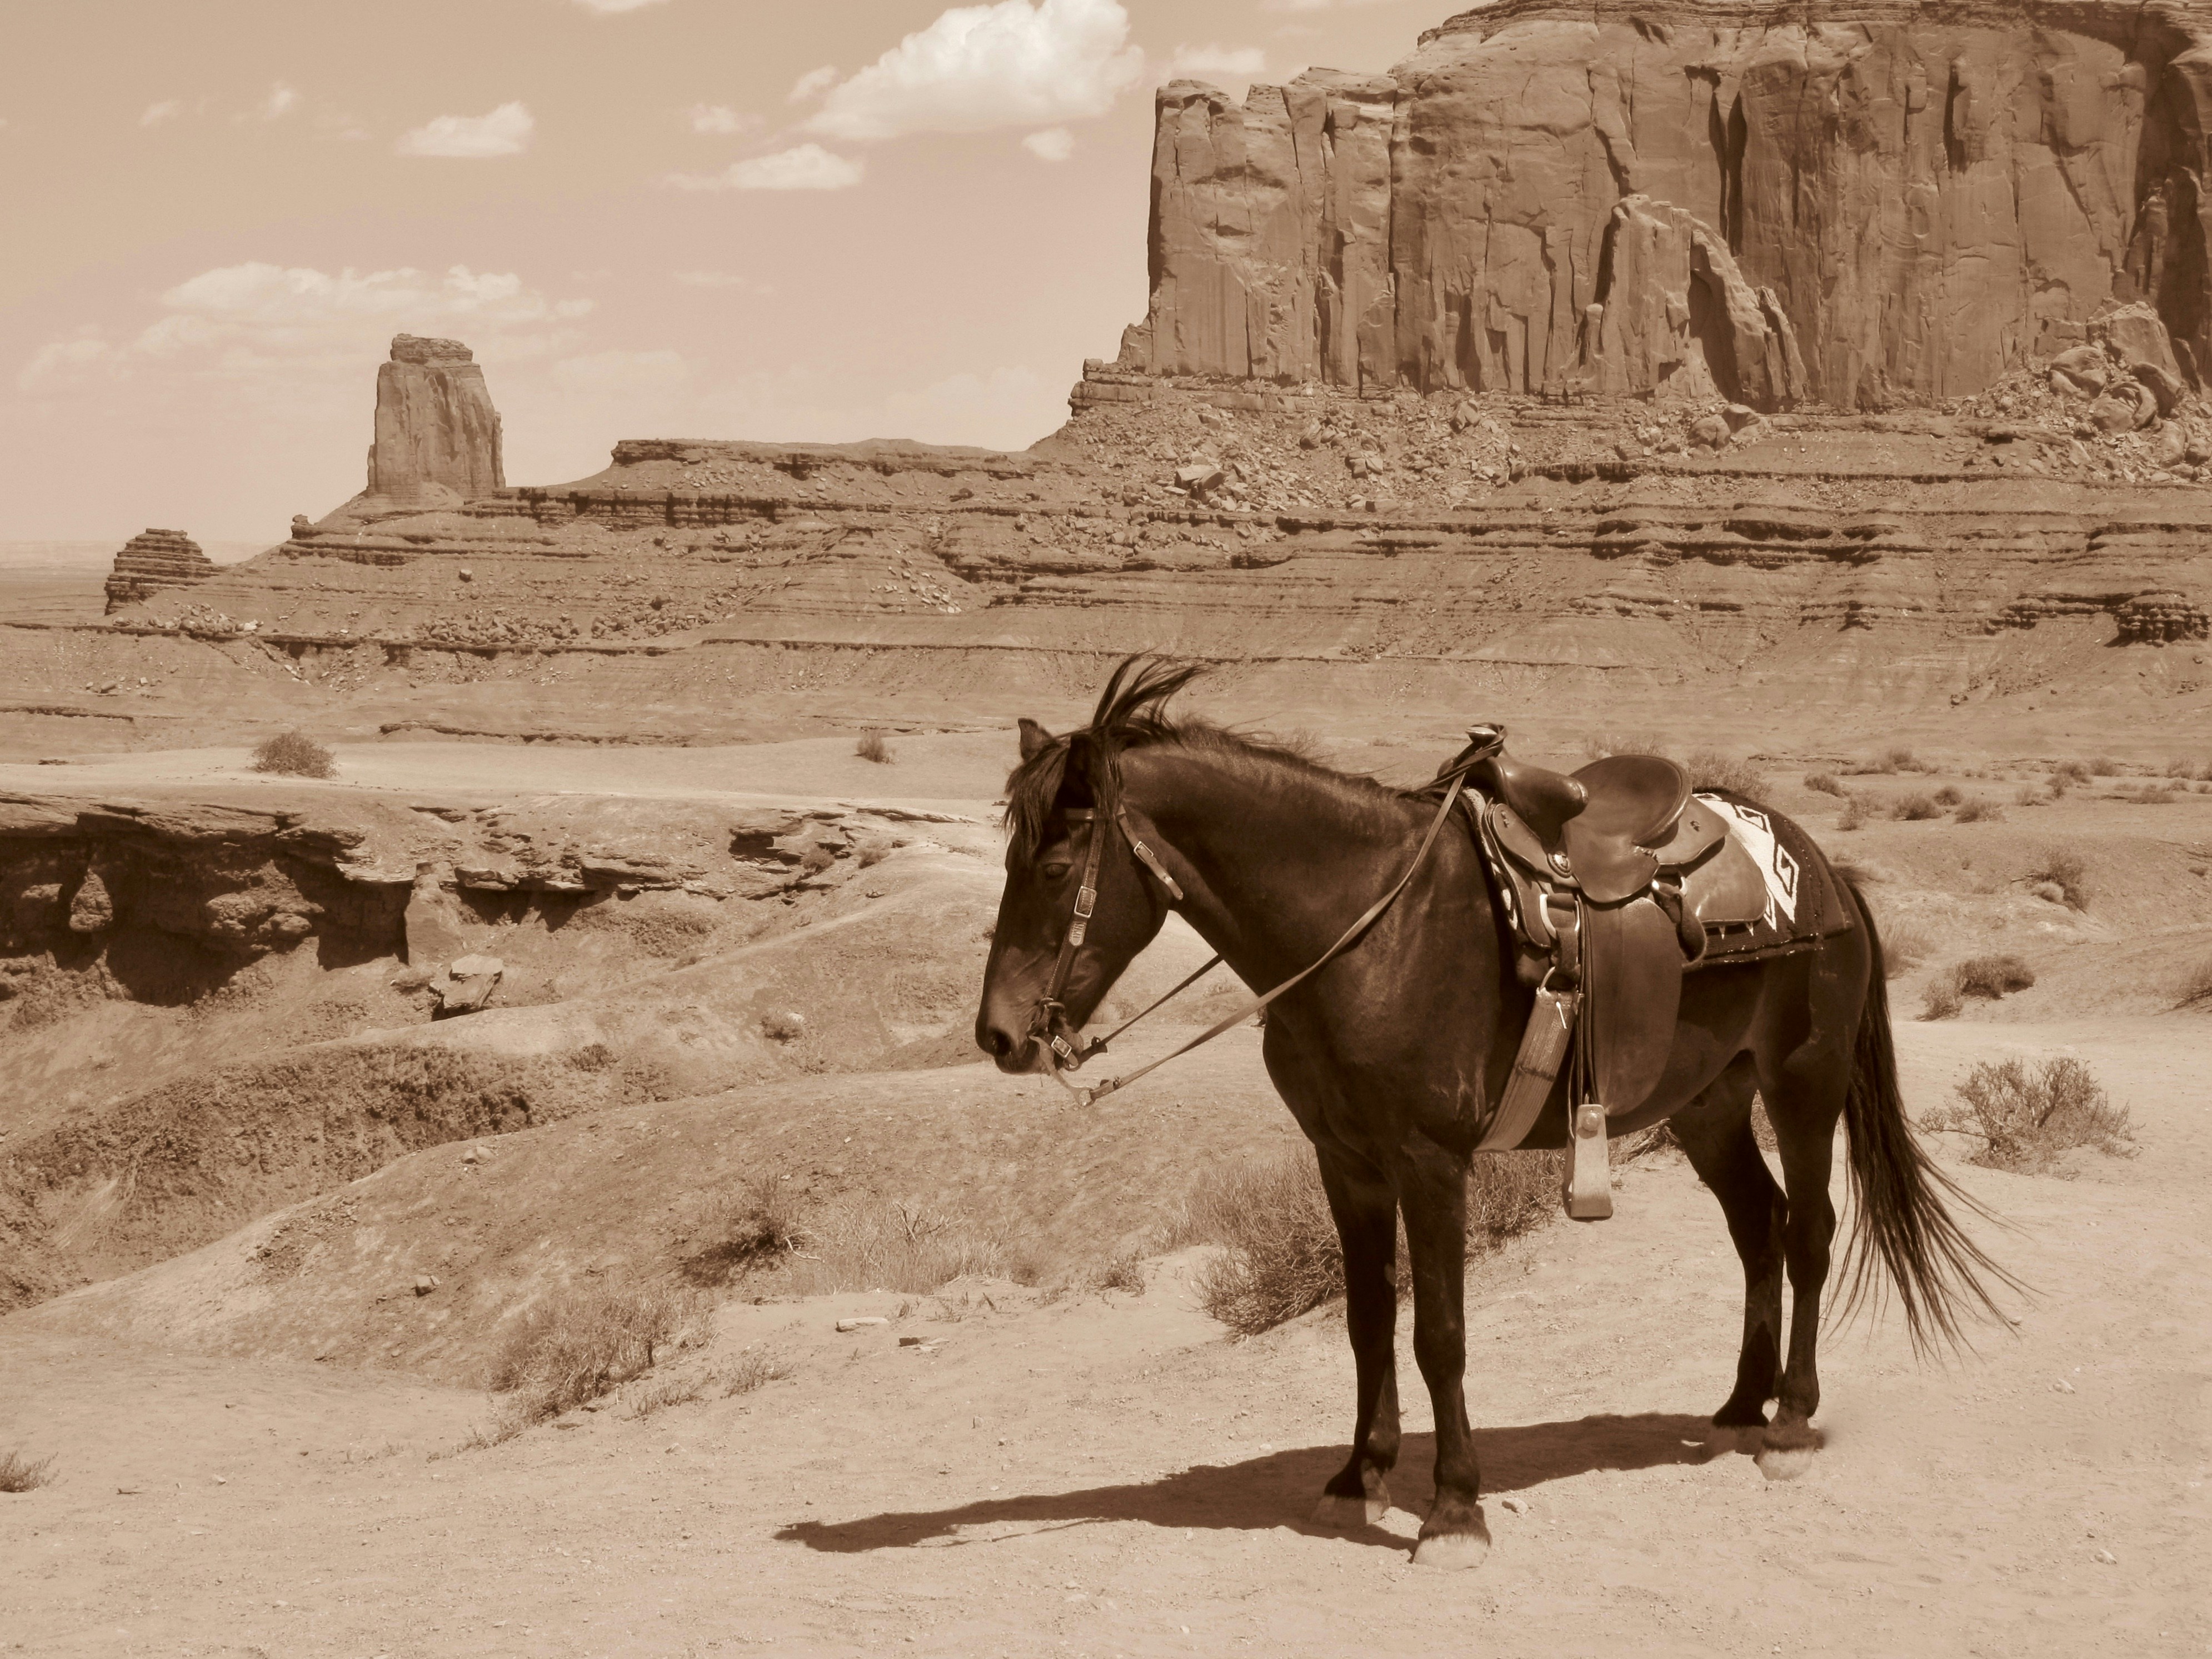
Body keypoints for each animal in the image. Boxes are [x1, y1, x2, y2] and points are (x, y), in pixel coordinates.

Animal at [972, 658, 2012, 1569]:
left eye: (1056, 864)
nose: (999, 1035)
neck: (1368, 927)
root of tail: (1823, 868)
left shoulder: (1430, 1159)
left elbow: (1439, 1333)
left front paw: (1453, 1511)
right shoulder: (1344, 1160)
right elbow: (1365, 1319)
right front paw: (1358, 1476)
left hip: (1802, 1083)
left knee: (1807, 1234)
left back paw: (1791, 1421)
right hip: (1709, 1104)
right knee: (1758, 1229)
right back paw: (1735, 1408)